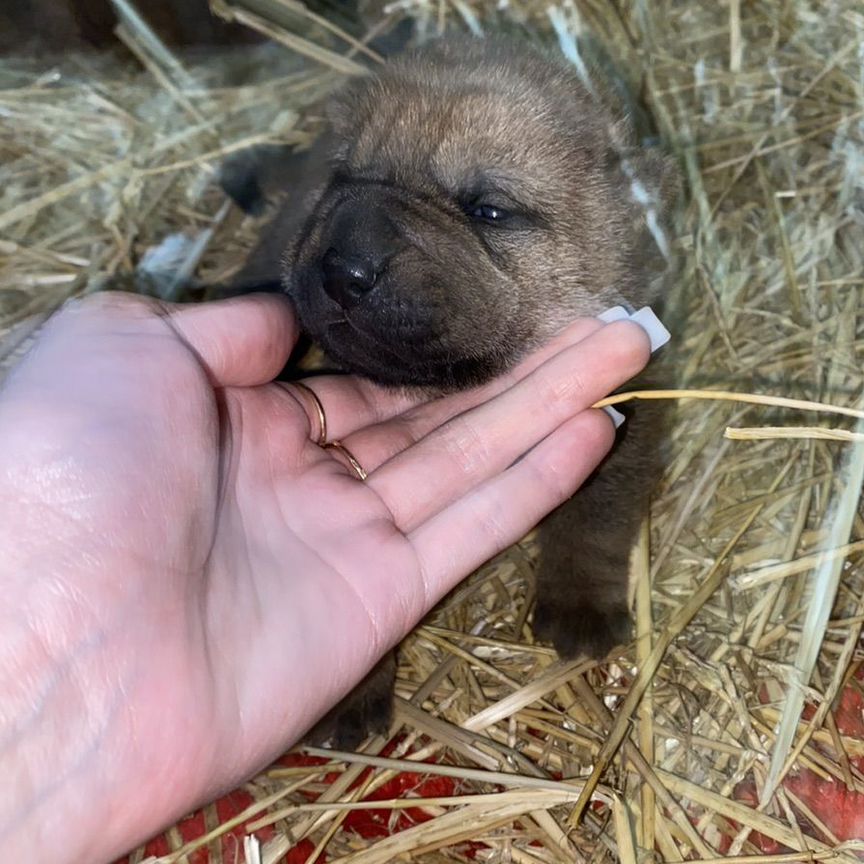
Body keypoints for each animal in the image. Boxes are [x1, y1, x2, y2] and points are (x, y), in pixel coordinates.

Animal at [226, 35, 680, 748]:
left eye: (488, 210)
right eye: (344, 178)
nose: (345, 269)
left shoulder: (631, 391)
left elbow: (596, 512)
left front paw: (581, 606)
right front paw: (349, 689)